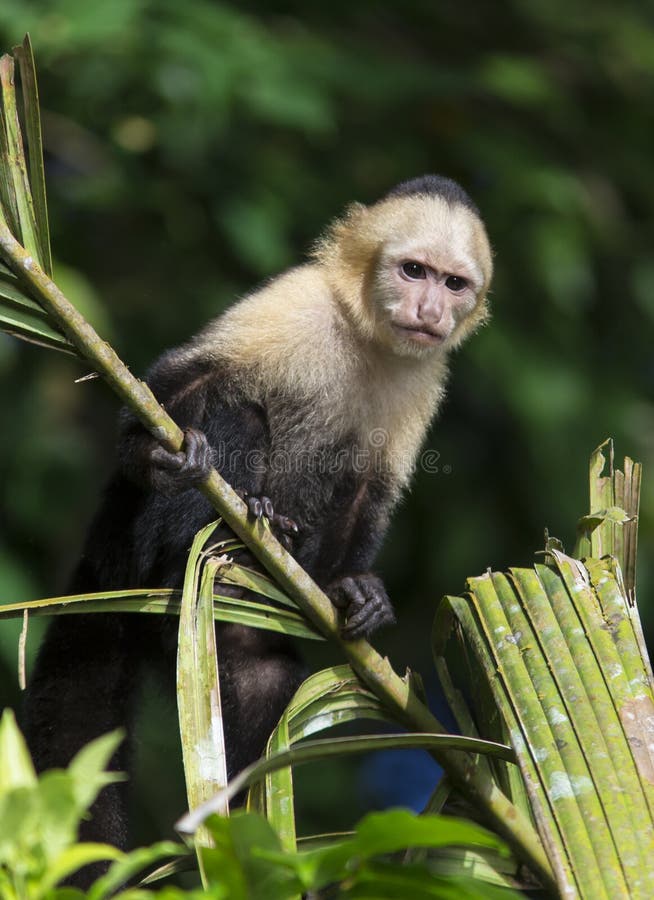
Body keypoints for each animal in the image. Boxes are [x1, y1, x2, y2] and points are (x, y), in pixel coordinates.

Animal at [23, 174, 492, 879]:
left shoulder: (426, 374)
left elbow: (371, 487)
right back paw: (224, 527)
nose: (430, 307)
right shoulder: (298, 299)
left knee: (257, 674)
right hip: (135, 537)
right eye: (413, 270)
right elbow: (193, 375)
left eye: (453, 282)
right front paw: (151, 449)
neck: (369, 337)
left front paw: (353, 588)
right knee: (234, 409)